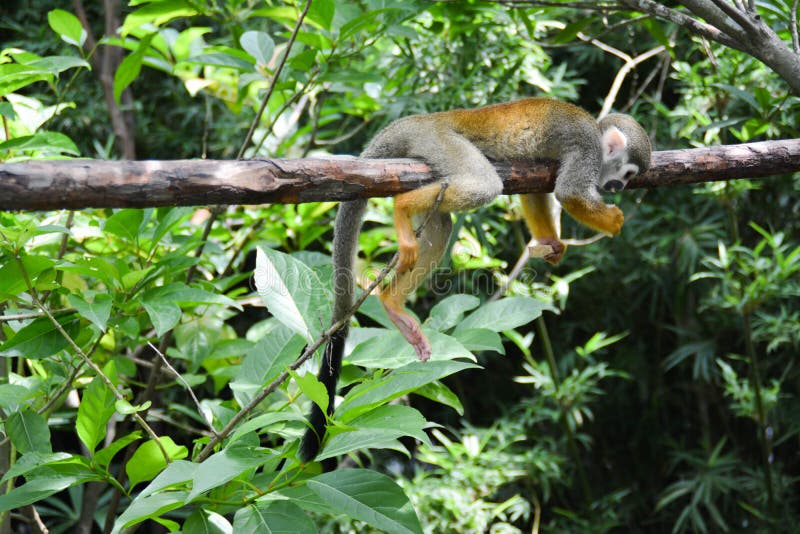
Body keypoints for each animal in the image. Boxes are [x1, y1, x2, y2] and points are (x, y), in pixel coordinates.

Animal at [298, 97, 651, 462]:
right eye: (627, 174)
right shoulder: (586, 150)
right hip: (439, 142)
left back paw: (393, 301)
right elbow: (569, 193)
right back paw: (402, 206)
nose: (620, 187)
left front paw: (551, 242)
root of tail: (416, 121)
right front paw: (613, 221)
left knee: (441, 222)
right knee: (483, 185)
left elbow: (538, 191)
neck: (595, 131)